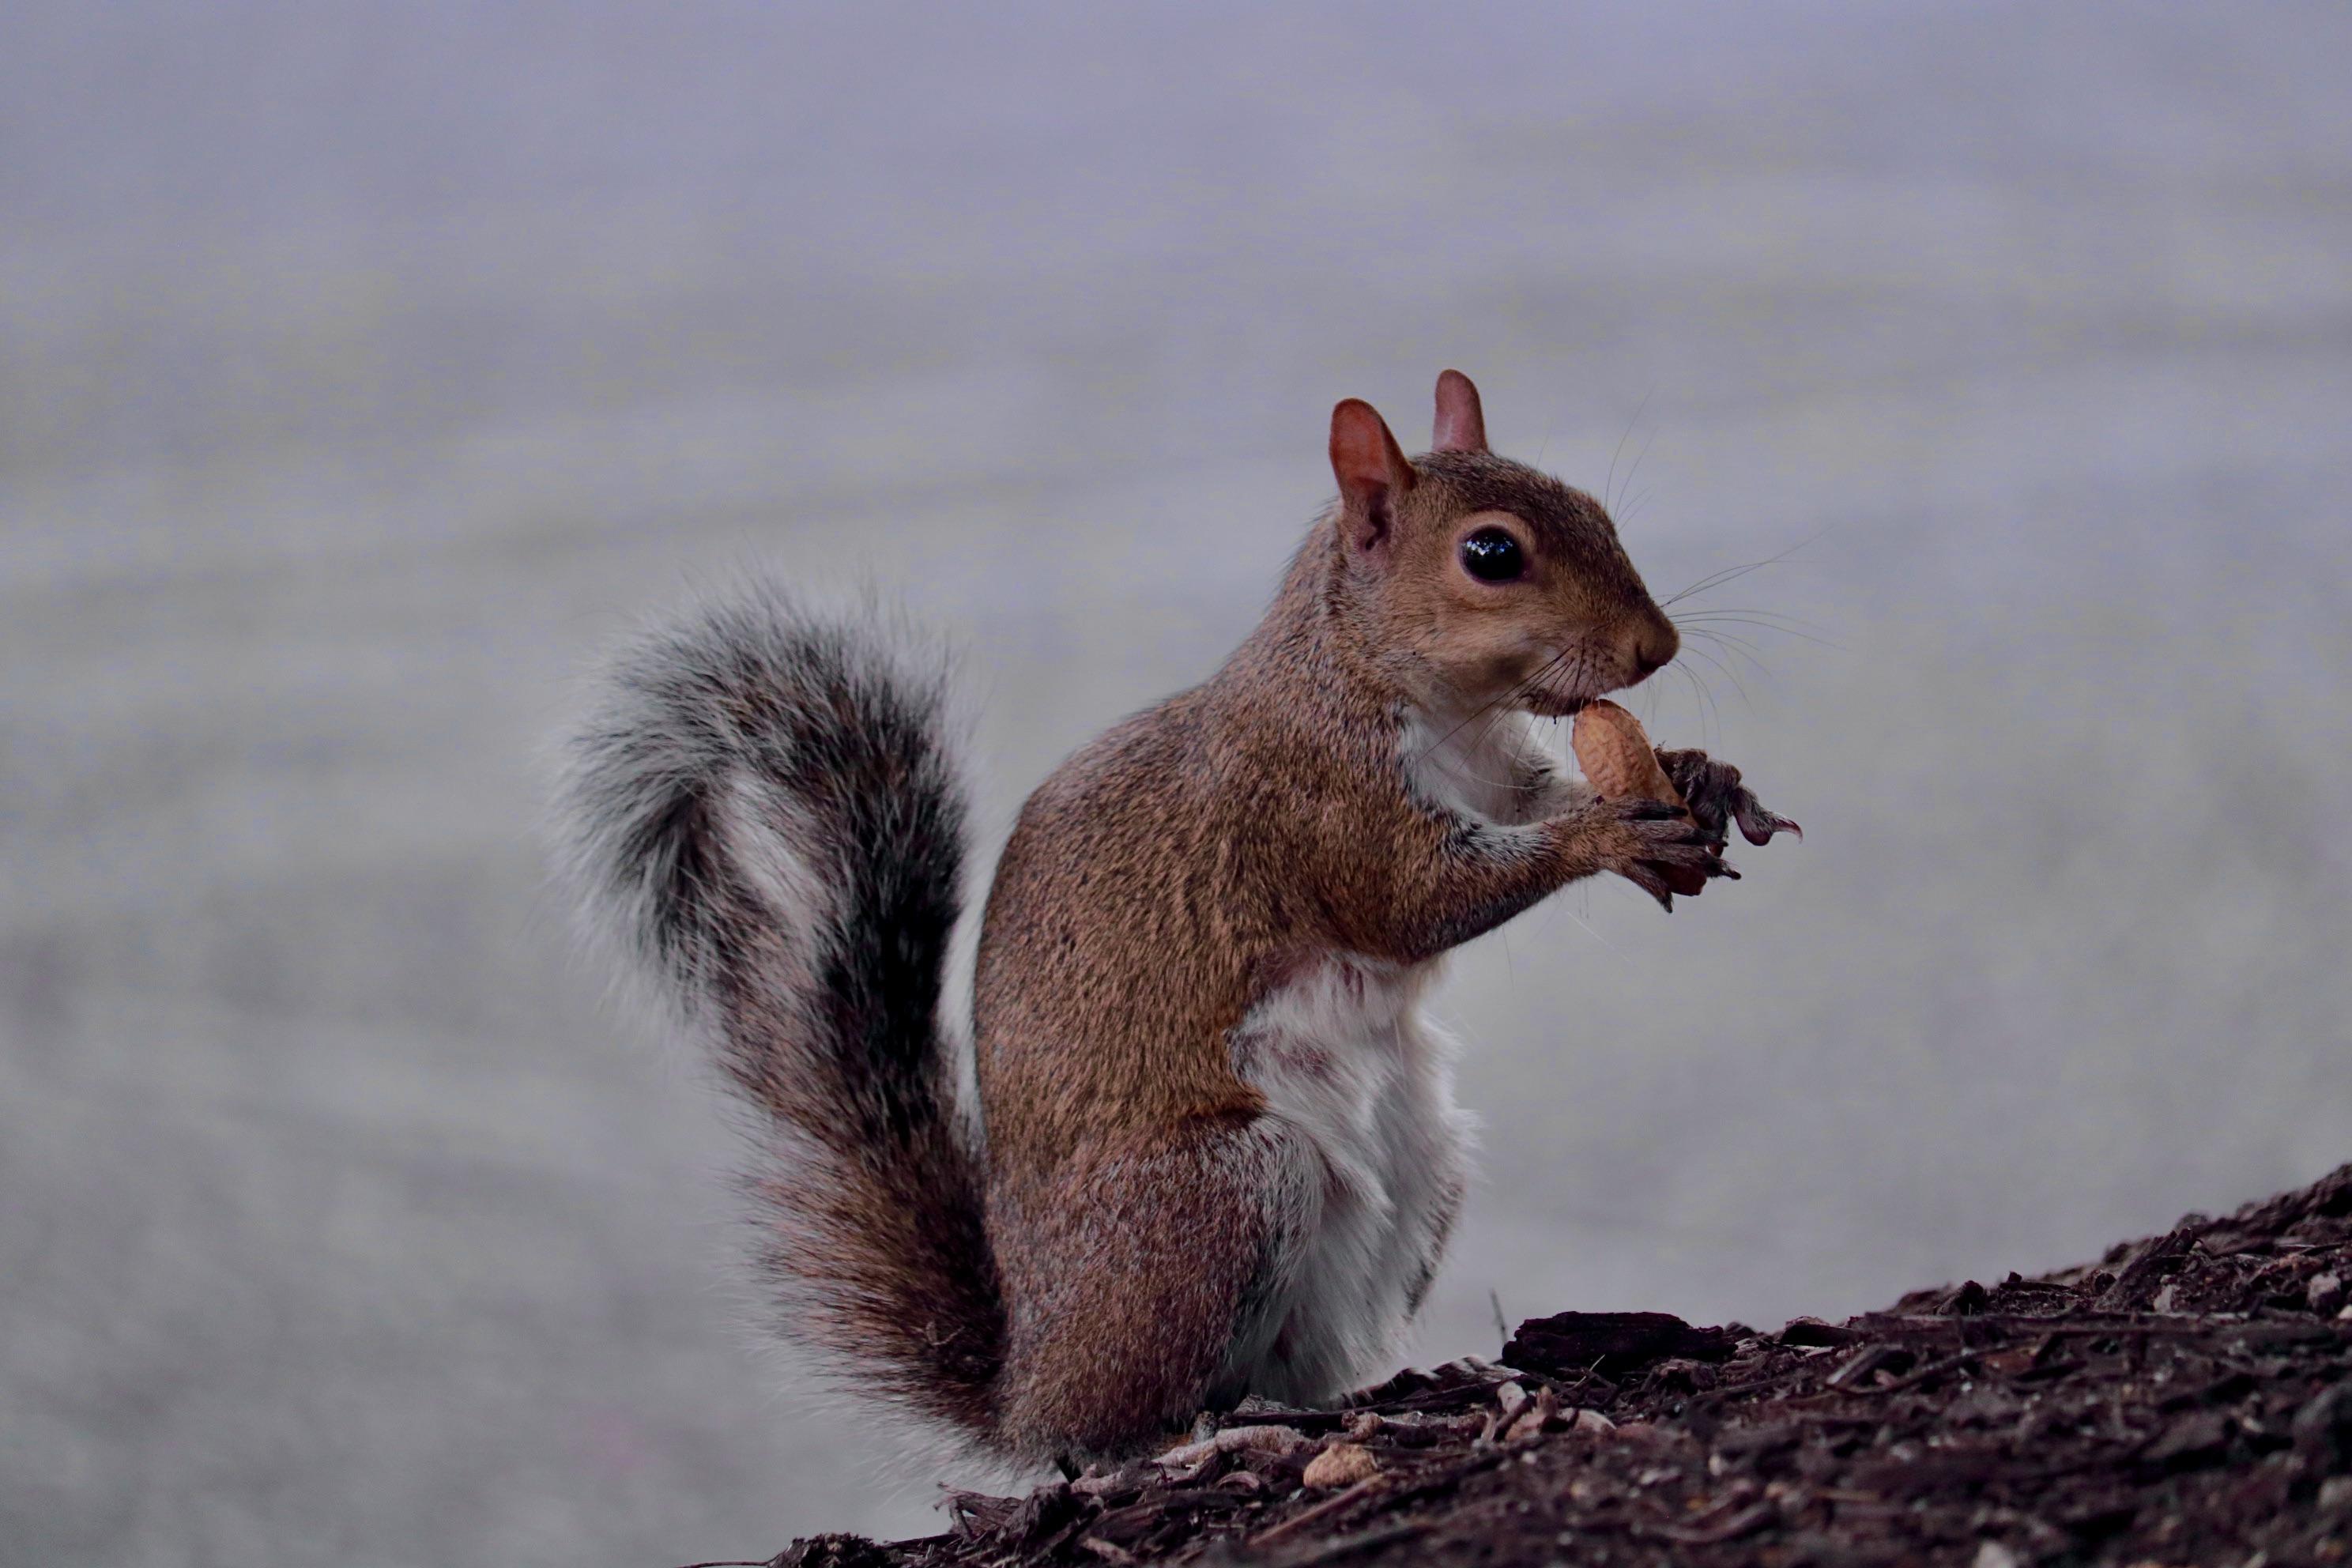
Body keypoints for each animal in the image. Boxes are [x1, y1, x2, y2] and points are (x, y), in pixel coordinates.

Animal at [556, 369, 1798, 1469]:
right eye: (1491, 554)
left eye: (1592, 507)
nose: (1656, 650)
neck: (1417, 696)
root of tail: (1031, 1381)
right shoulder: (1315, 803)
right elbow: (1414, 902)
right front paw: (1610, 835)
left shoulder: (1499, 773)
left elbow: (1537, 805)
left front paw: (1699, 775)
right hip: (1216, 1198)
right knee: (1120, 1428)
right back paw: (1192, 1435)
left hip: (1419, 1173)